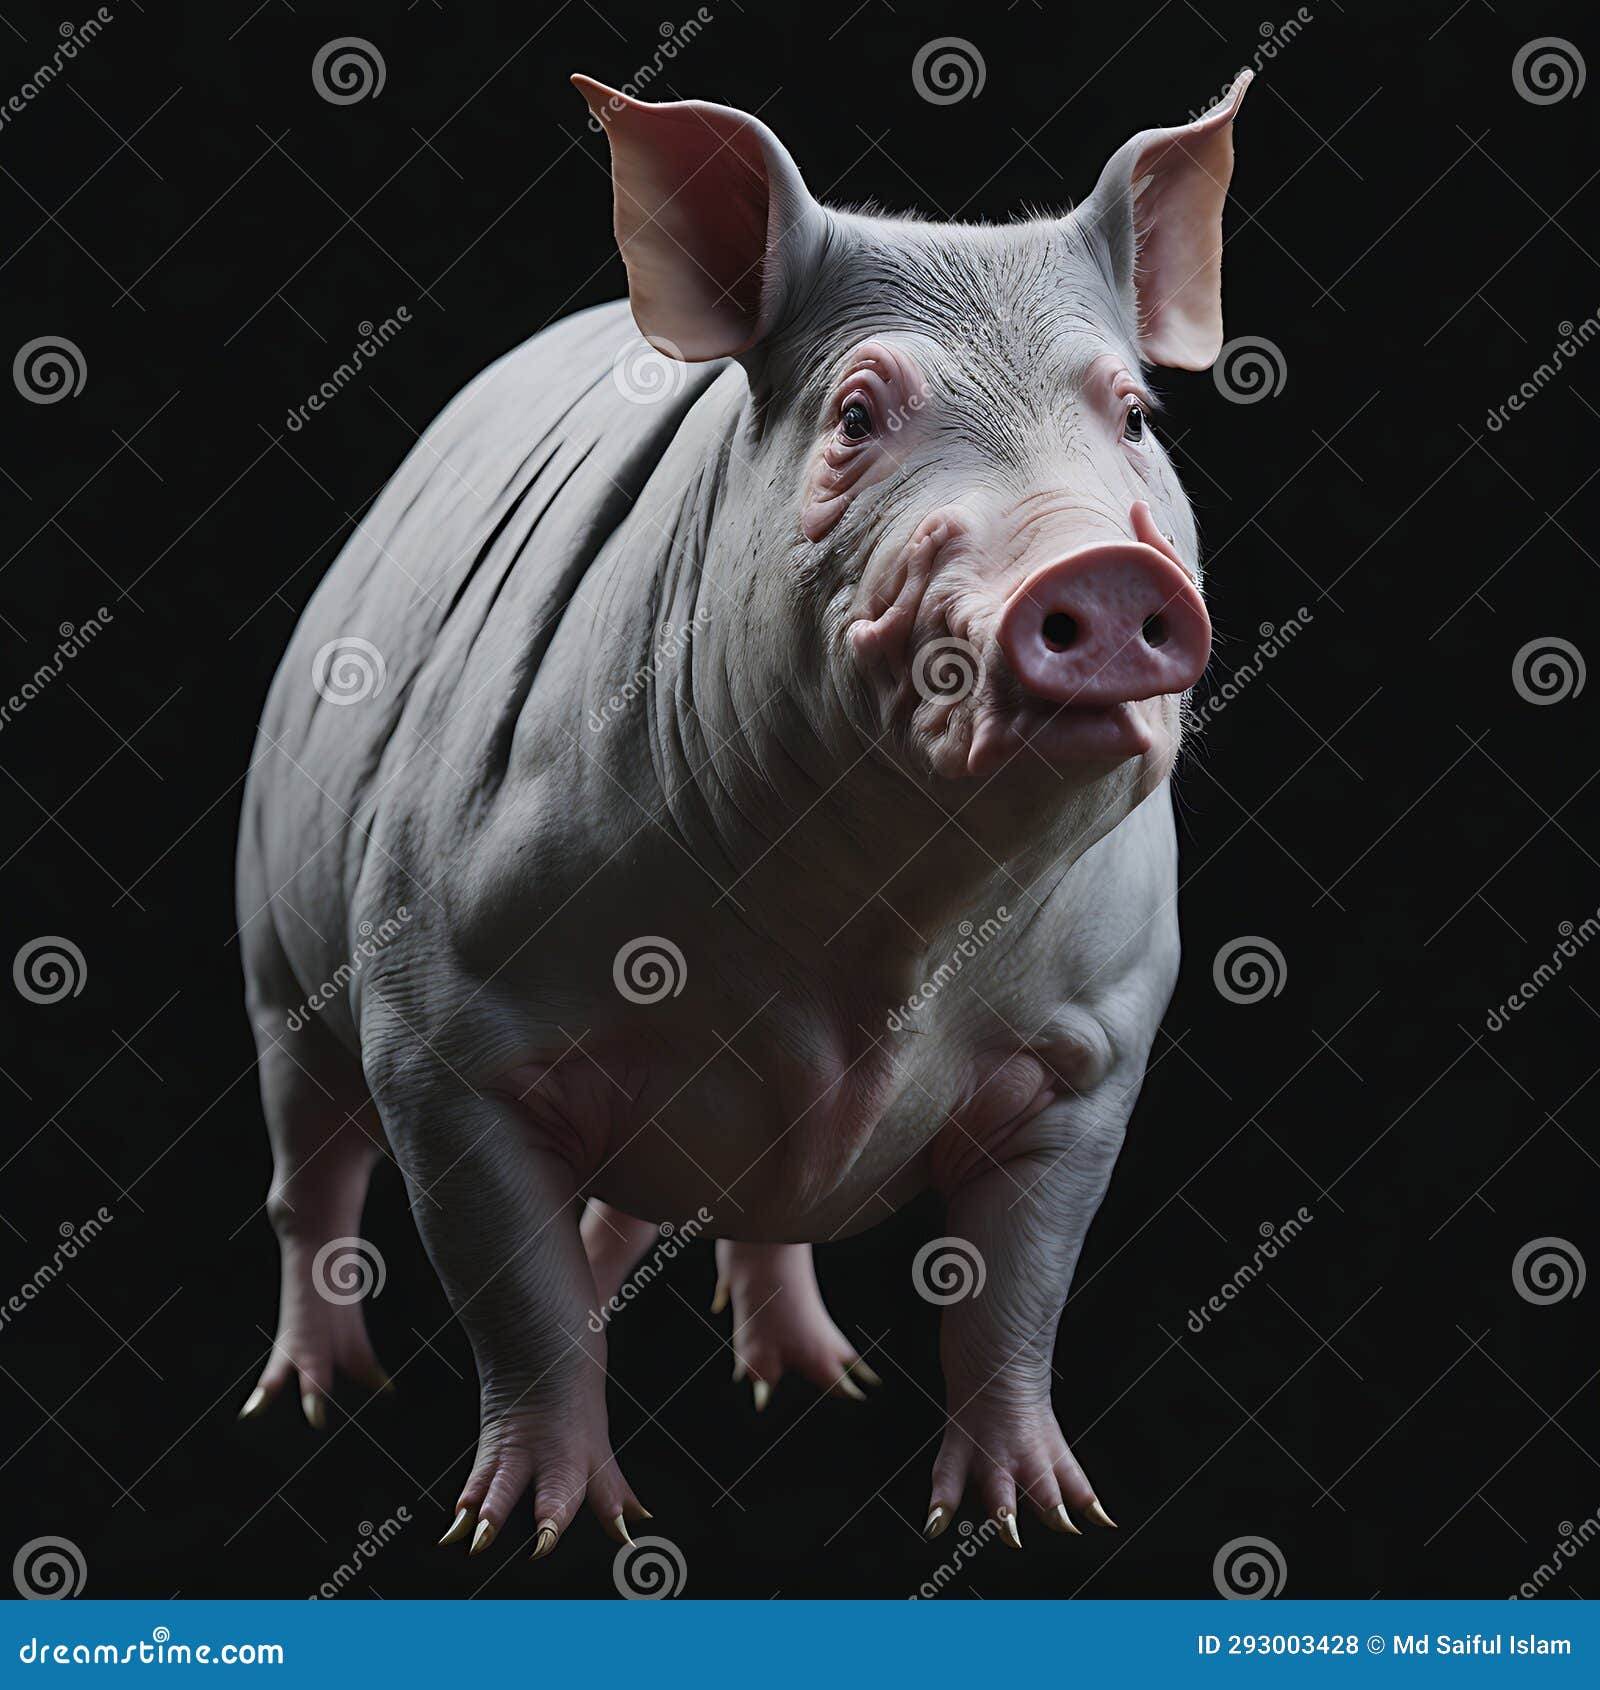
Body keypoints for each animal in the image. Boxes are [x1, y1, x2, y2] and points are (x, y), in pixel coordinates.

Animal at [234, 69, 1250, 1562]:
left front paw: (1040, 1518)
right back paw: (310, 1398)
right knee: (309, 1173)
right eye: (857, 416)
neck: (876, 934)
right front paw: (534, 1537)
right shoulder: (439, 1031)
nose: (1100, 568)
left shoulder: (1096, 1043)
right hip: (271, 937)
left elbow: (1016, 1295)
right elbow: (517, 1302)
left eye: (1129, 417)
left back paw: (811, 1382)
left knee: (747, 1219)